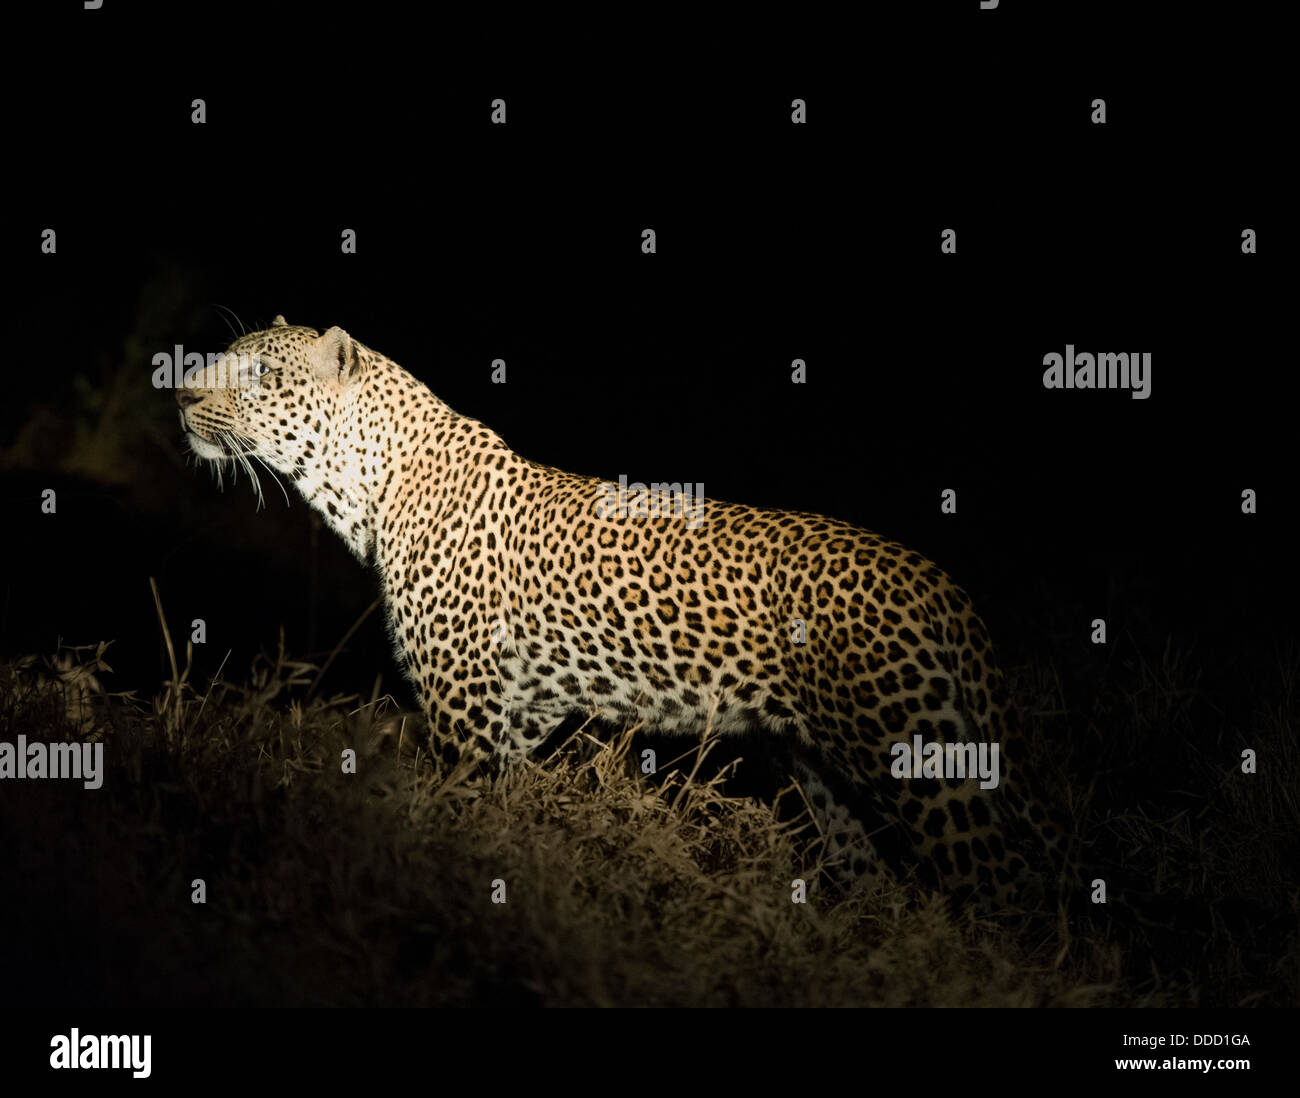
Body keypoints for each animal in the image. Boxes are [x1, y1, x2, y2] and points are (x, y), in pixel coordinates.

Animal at [176, 316, 1071, 911]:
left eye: (256, 375)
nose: (181, 395)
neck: (366, 486)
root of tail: (942, 584)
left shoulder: (468, 714)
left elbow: (464, 820)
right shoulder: (520, 710)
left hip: (914, 755)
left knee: (998, 878)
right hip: (825, 770)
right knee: (873, 870)